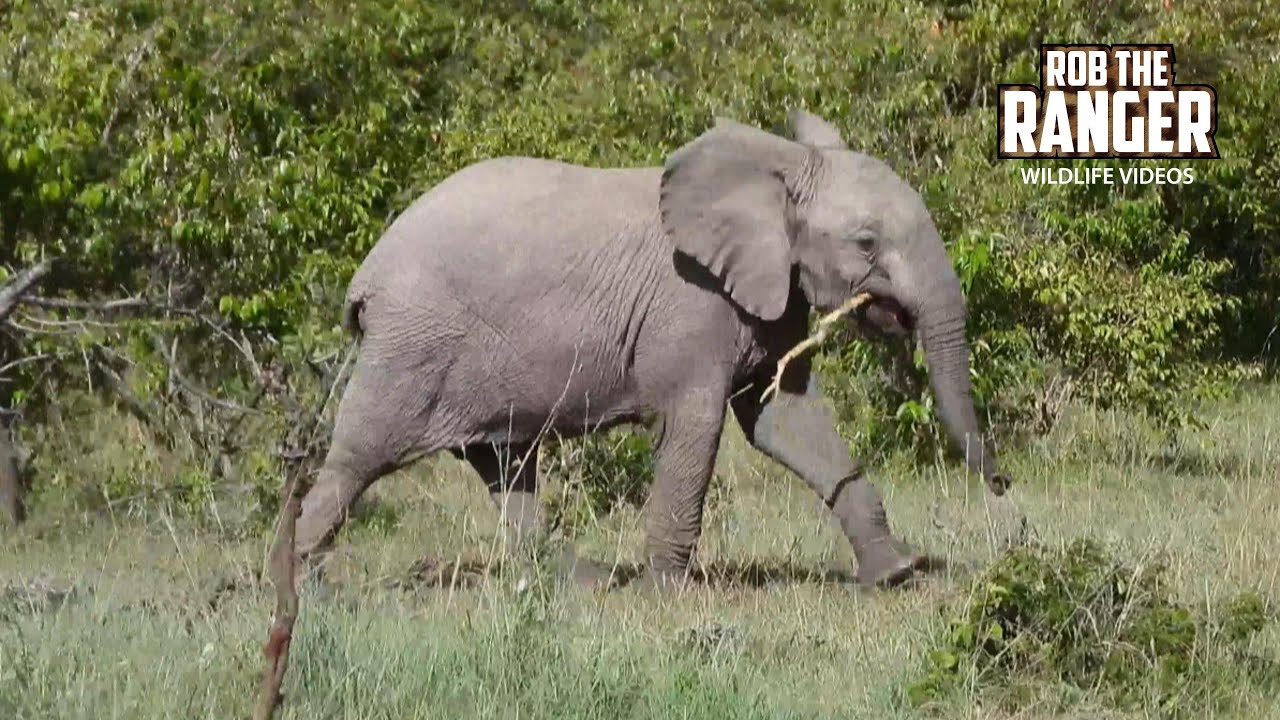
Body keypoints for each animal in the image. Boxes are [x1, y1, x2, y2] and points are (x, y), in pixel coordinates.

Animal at [293, 109, 1010, 590]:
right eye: (865, 243)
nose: (1004, 486)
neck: (771, 165)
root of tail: (365, 277)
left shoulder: (769, 294)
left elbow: (785, 418)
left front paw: (896, 573)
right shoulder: (690, 306)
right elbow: (693, 427)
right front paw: (669, 595)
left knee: (503, 462)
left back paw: (583, 584)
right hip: (413, 343)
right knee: (359, 457)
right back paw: (303, 587)